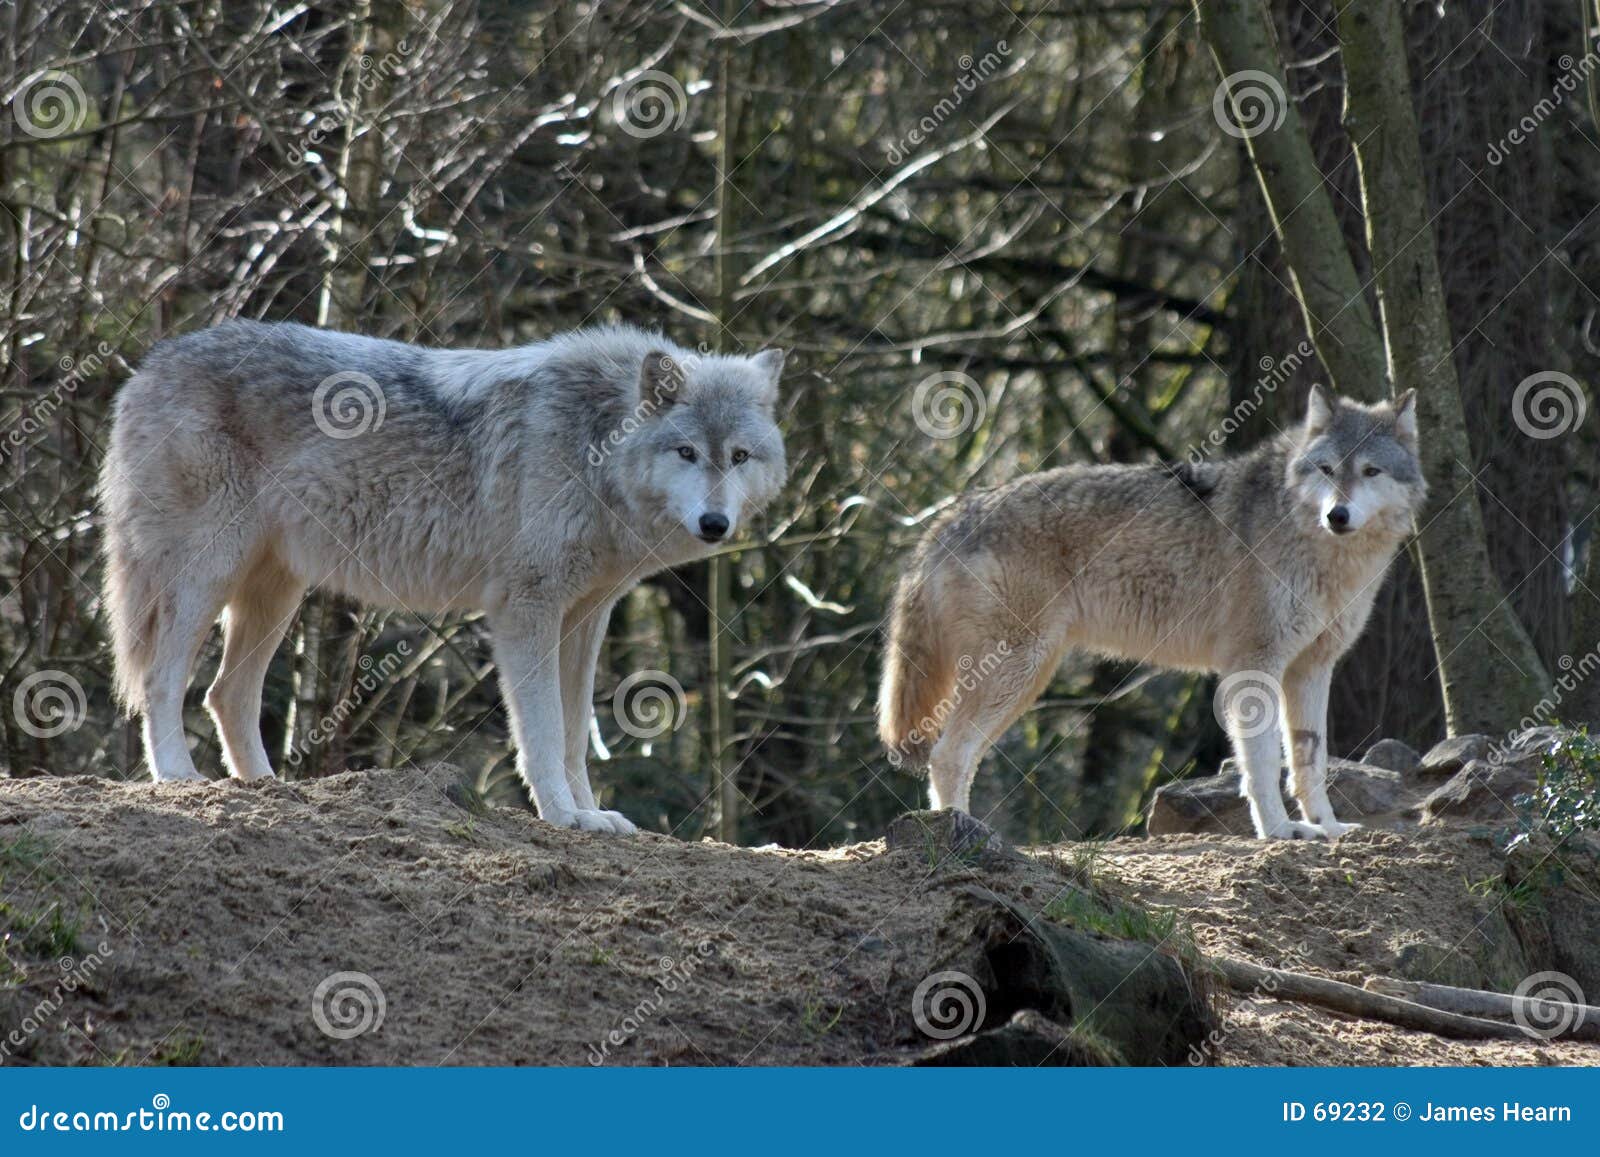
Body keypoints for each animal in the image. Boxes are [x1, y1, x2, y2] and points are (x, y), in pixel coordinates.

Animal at [100, 320, 786, 833]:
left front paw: (591, 815)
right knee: (161, 678)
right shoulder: (525, 611)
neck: (597, 445)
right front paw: (562, 815)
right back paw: (179, 778)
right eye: (687, 452)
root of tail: (148, 365)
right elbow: (543, 731)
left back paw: (268, 789)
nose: (716, 522)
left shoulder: (587, 618)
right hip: (206, 577)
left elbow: (574, 735)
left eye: (739, 457)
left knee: (225, 694)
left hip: (276, 595)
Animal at [878, 386, 1425, 839]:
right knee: (947, 755)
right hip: (1016, 671)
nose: (1337, 515)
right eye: (1328, 469)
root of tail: (948, 518)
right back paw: (961, 833)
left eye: (1370, 471)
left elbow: (1311, 761)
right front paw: (1278, 831)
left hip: (1025, 680)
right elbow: (1264, 765)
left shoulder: (1312, 668)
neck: (1321, 551)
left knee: (957, 755)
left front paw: (1326, 827)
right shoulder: (1255, 665)